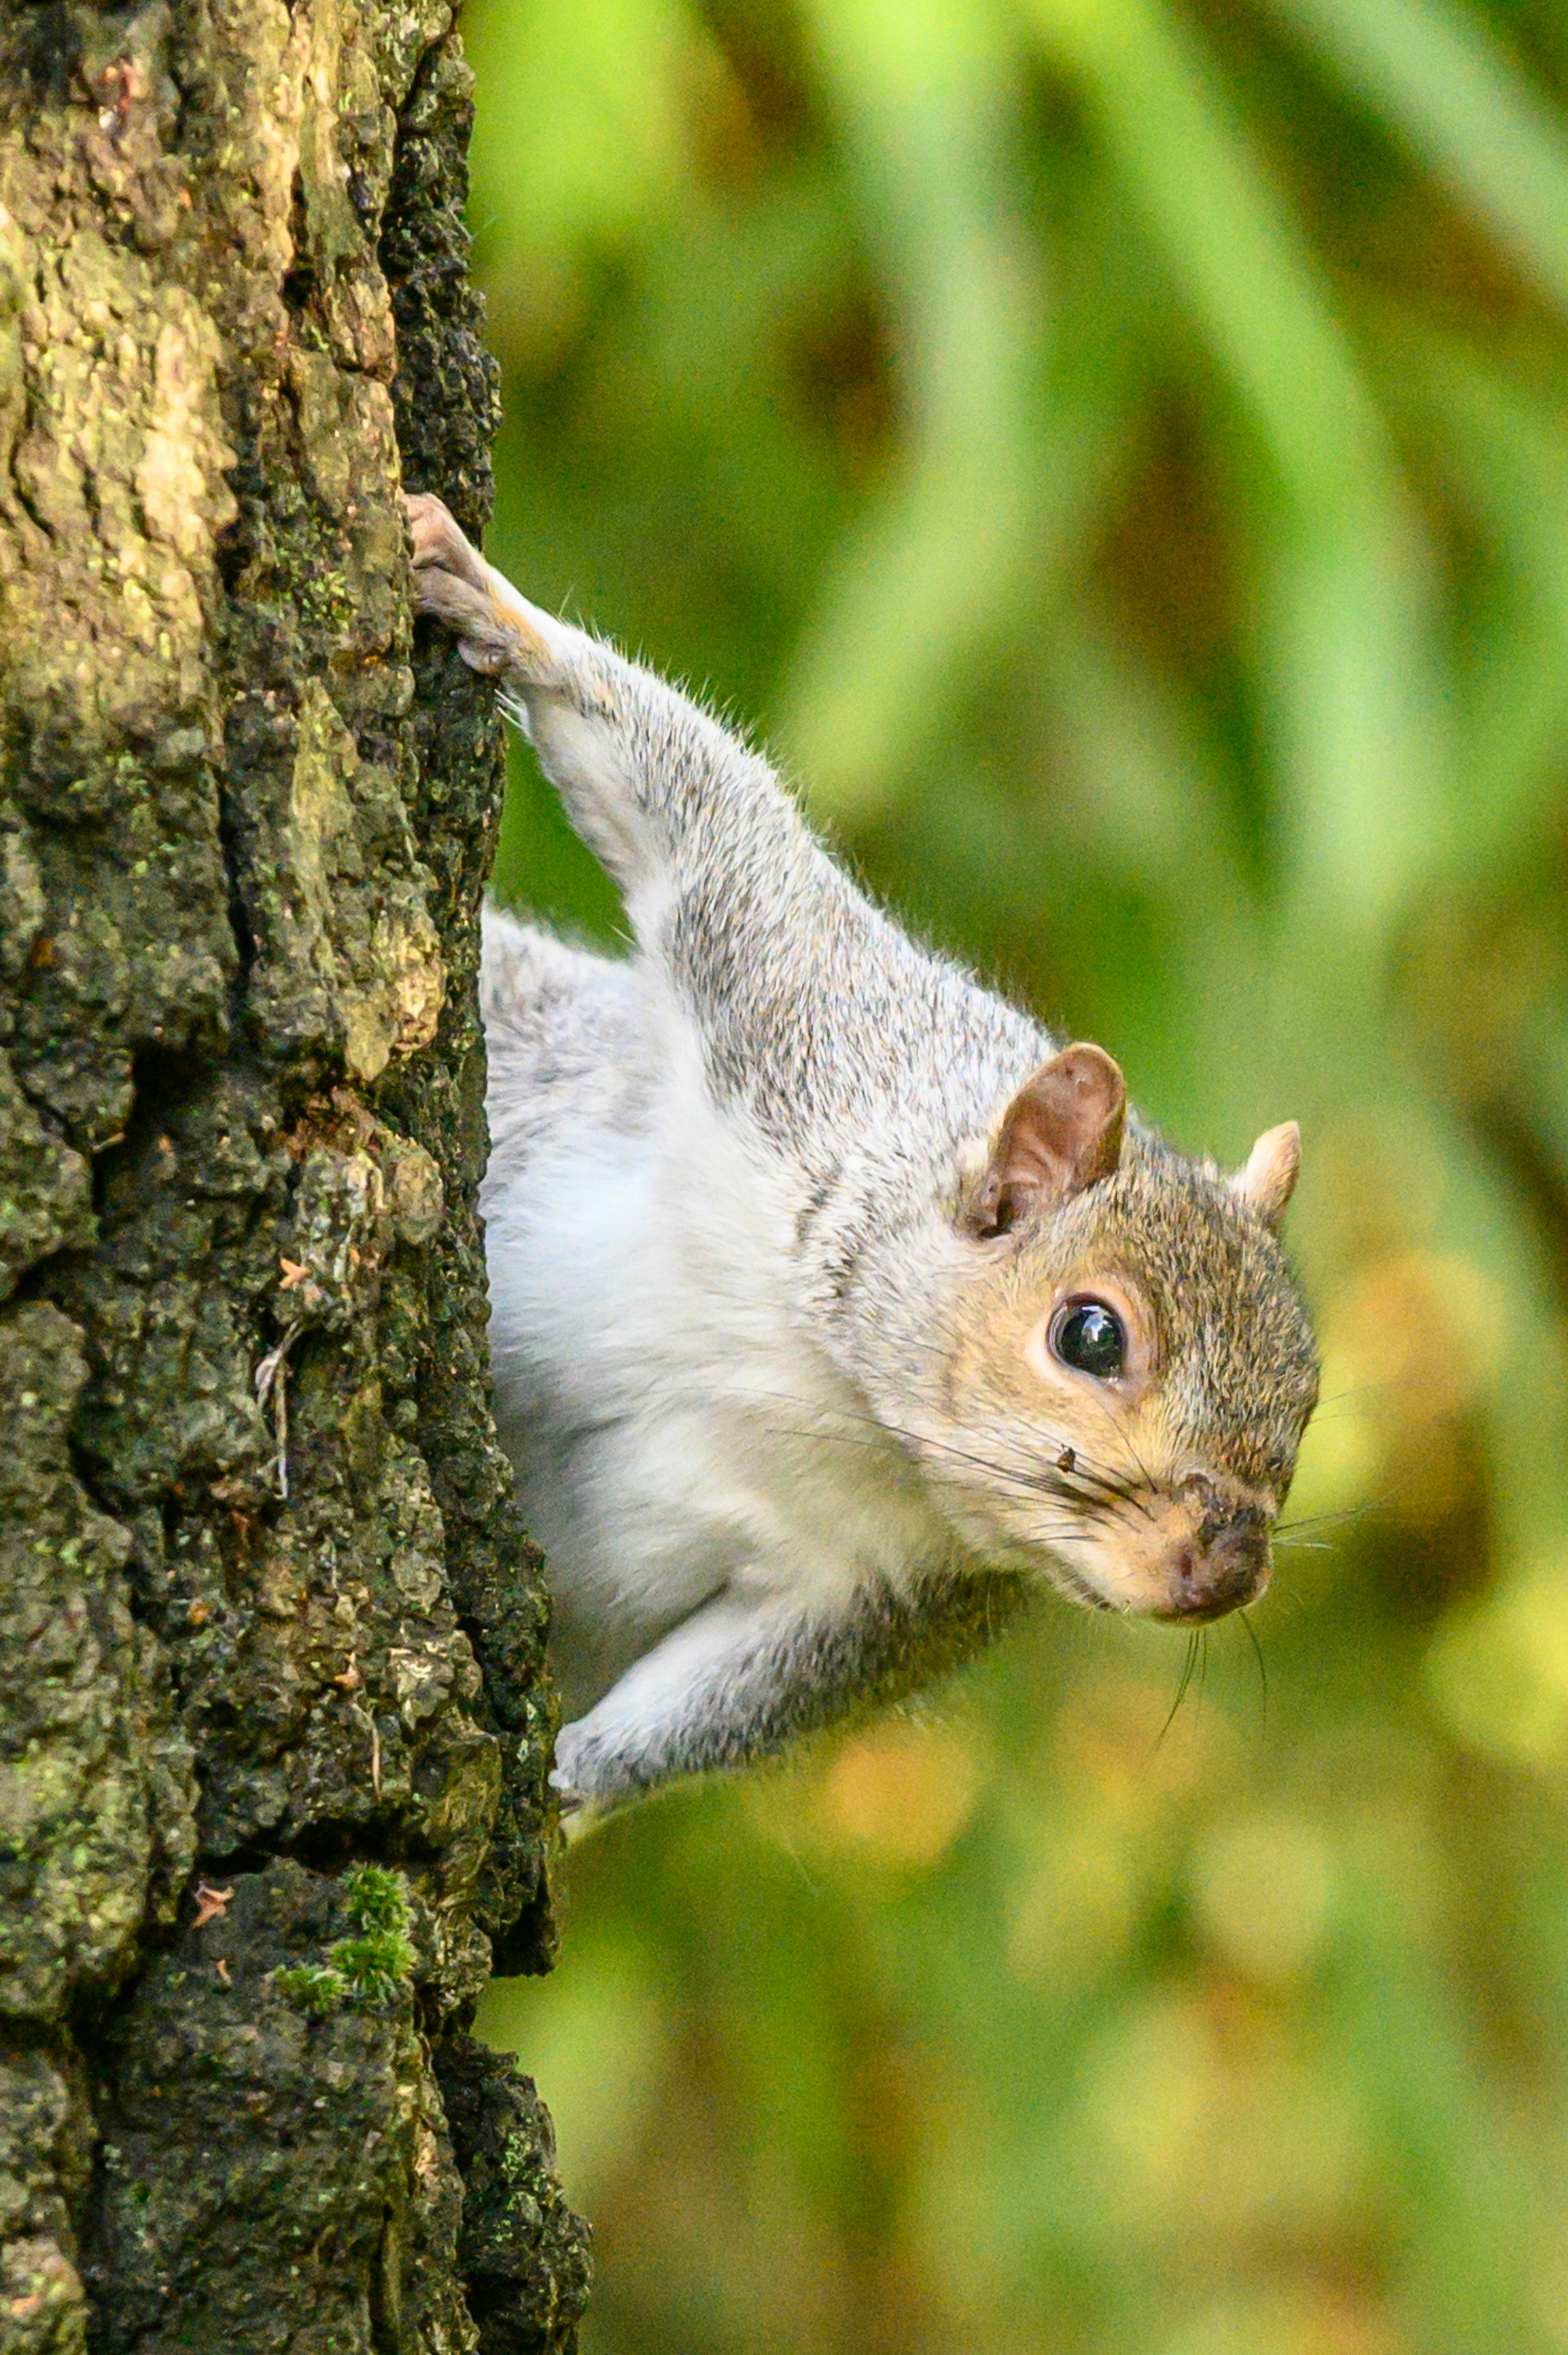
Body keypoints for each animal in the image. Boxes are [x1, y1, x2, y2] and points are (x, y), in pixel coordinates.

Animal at [405, 491, 1320, 1815]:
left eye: (1308, 1393)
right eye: (1090, 1334)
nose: (1226, 1573)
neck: (842, 1394)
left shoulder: (882, 1599)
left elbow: (728, 1704)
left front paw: (566, 1785)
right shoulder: (803, 1026)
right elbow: (713, 824)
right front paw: (494, 607)